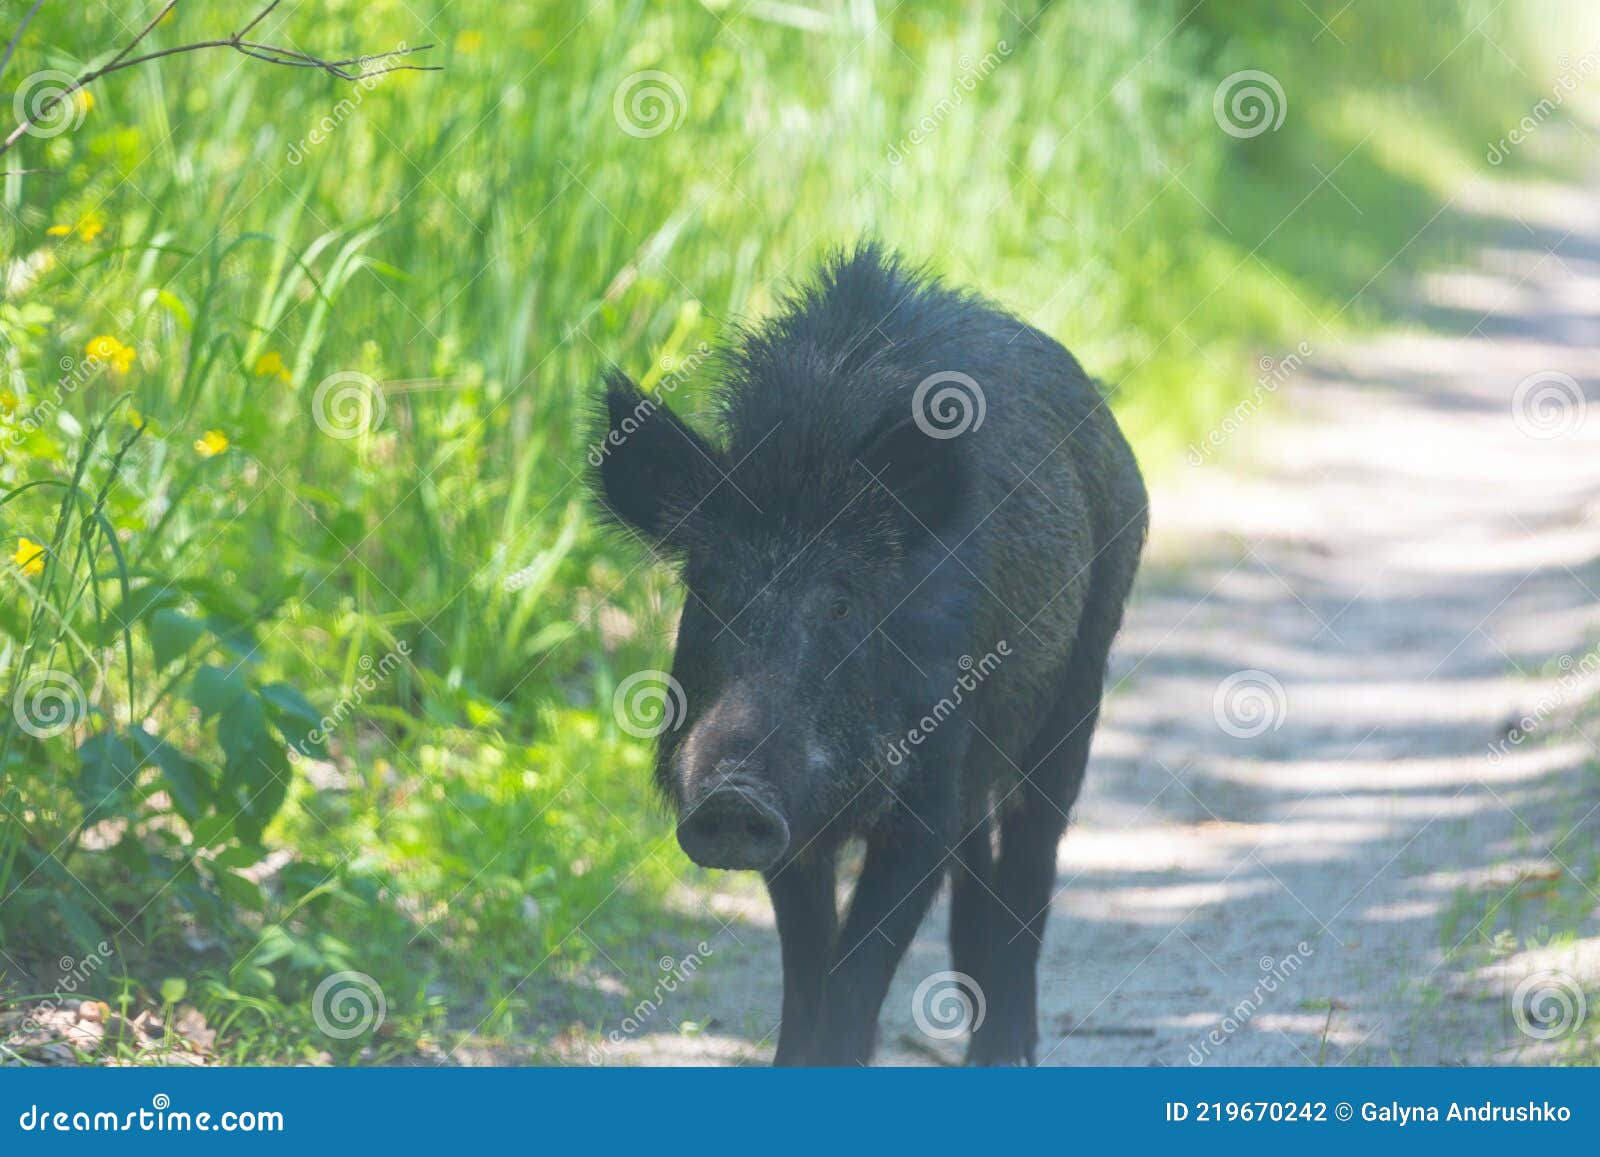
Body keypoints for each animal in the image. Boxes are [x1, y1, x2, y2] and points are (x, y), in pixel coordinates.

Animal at [591, 243, 1147, 1065]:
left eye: (841, 602)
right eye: (709, 588)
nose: (731, 795)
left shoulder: (923, 794)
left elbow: (859, 972)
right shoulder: (797, 823)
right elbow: (806, 968)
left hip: (1081, 683)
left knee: (1032, 851)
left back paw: (1004, 1053)